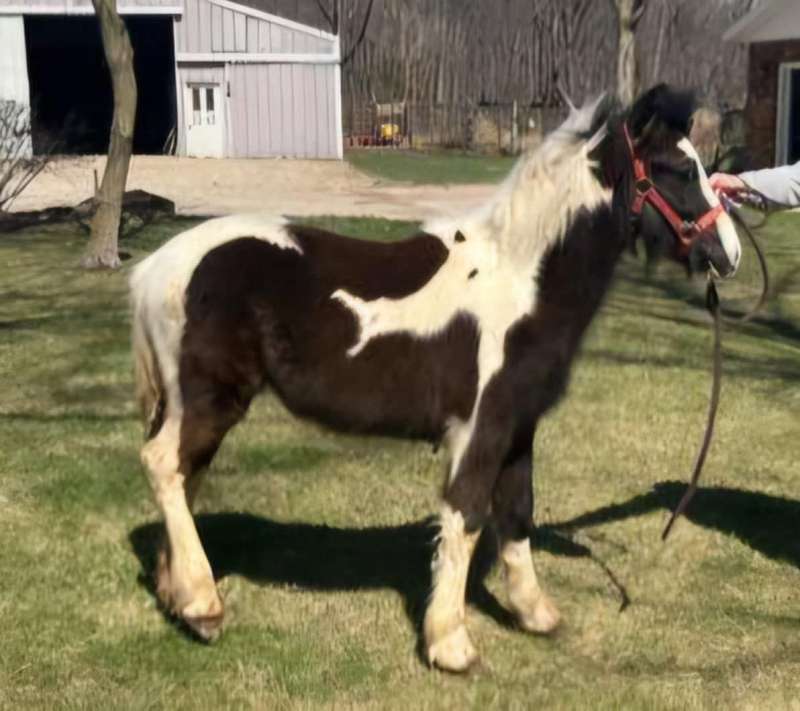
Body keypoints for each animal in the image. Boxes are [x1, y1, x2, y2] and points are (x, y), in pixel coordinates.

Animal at [129, 84, 741, 672]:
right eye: (676, 169)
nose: (728, 253)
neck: (520, 279)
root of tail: (154, 268)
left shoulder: (518, 427)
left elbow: (517, 512)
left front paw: (535, 614)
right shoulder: (480, 427)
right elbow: (466, 515)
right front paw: (451, 645)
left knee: (184, 473)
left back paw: (176, 594)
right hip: (212, 398)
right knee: (164, 465)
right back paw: (203, 606)